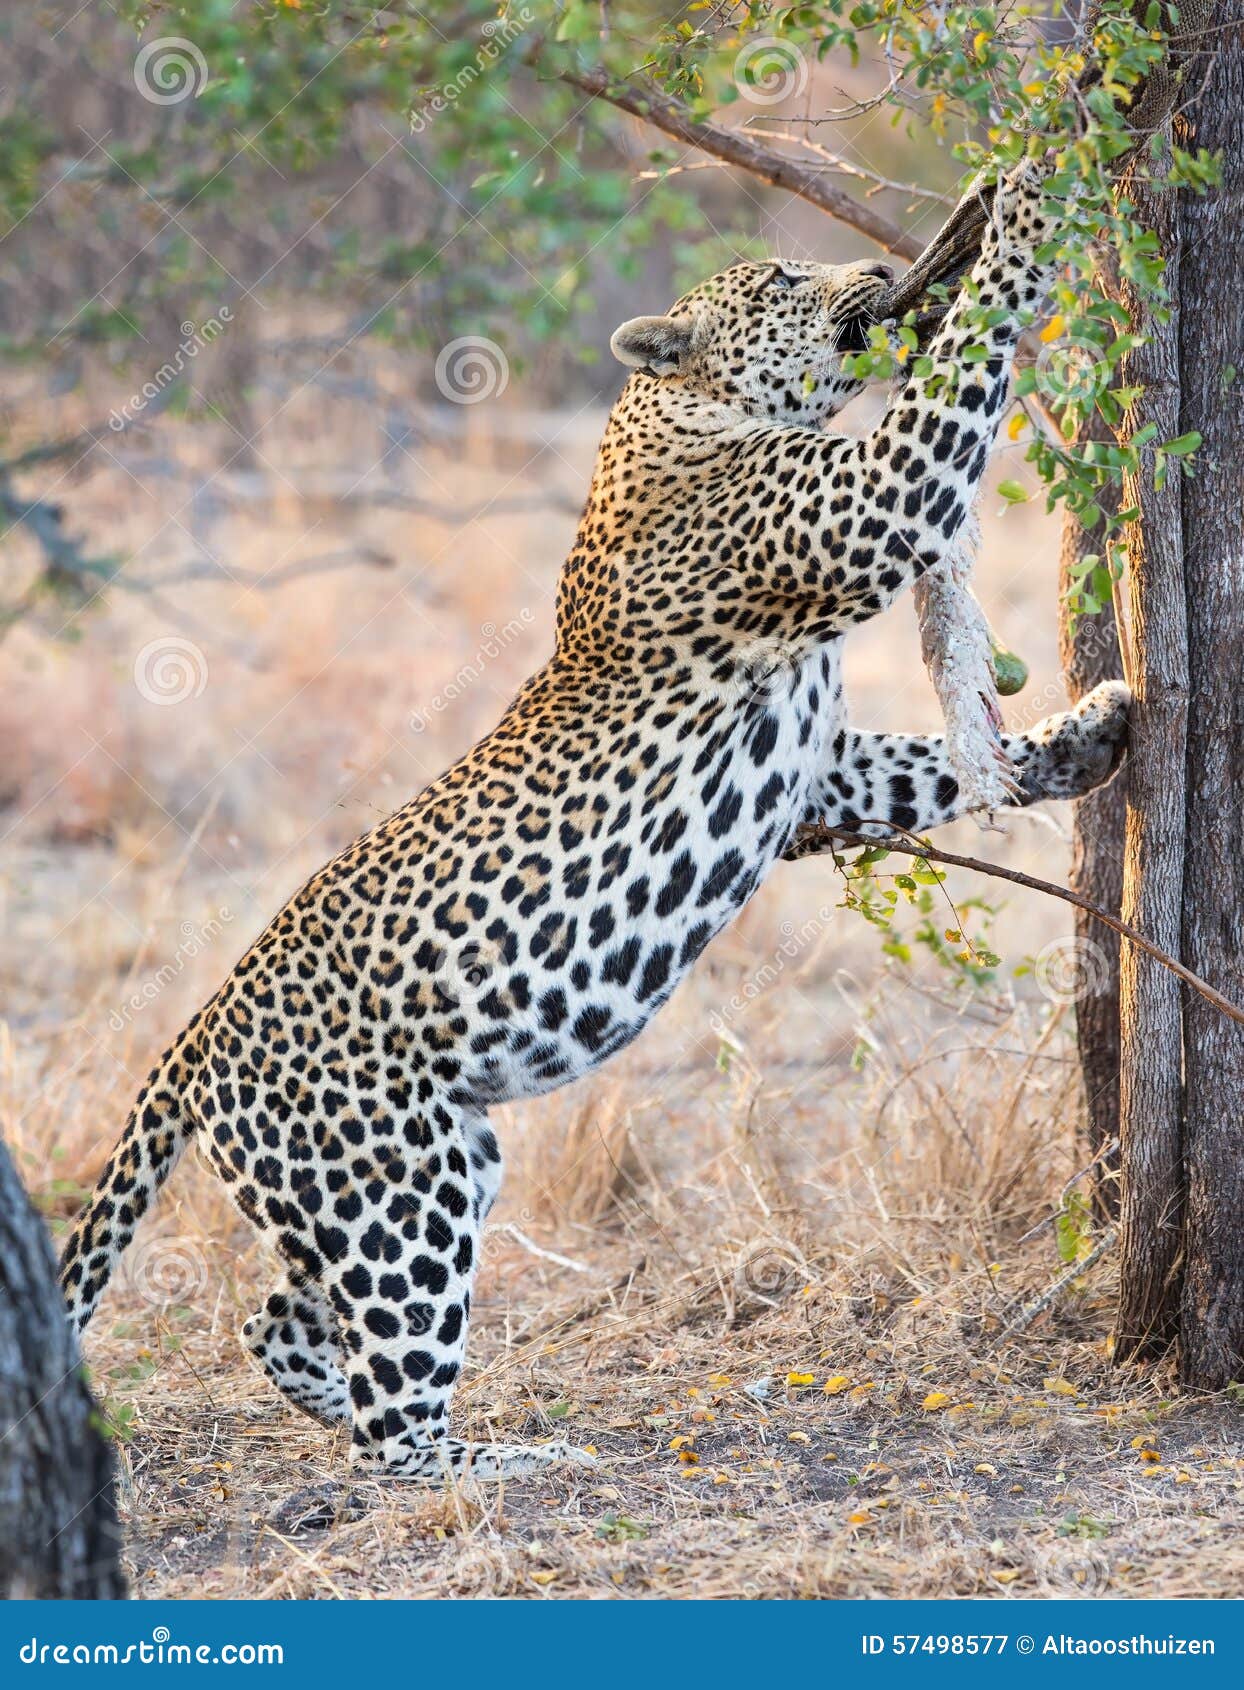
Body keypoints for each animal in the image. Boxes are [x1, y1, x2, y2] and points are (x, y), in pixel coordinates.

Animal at [60, 162, 1129, 1483]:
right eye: (783, 278)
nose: (880, 272)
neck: (679, 410)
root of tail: (196, 1036)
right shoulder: (871, 503)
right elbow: (961, 362)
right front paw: (1027, 206)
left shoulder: (818, 777)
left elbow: (928, 765)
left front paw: (1089, 736)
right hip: (396, 1189)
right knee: (392, 1432)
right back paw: (511, 1464)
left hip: (424, 1164)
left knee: (277, 1324)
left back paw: (344, 1406)